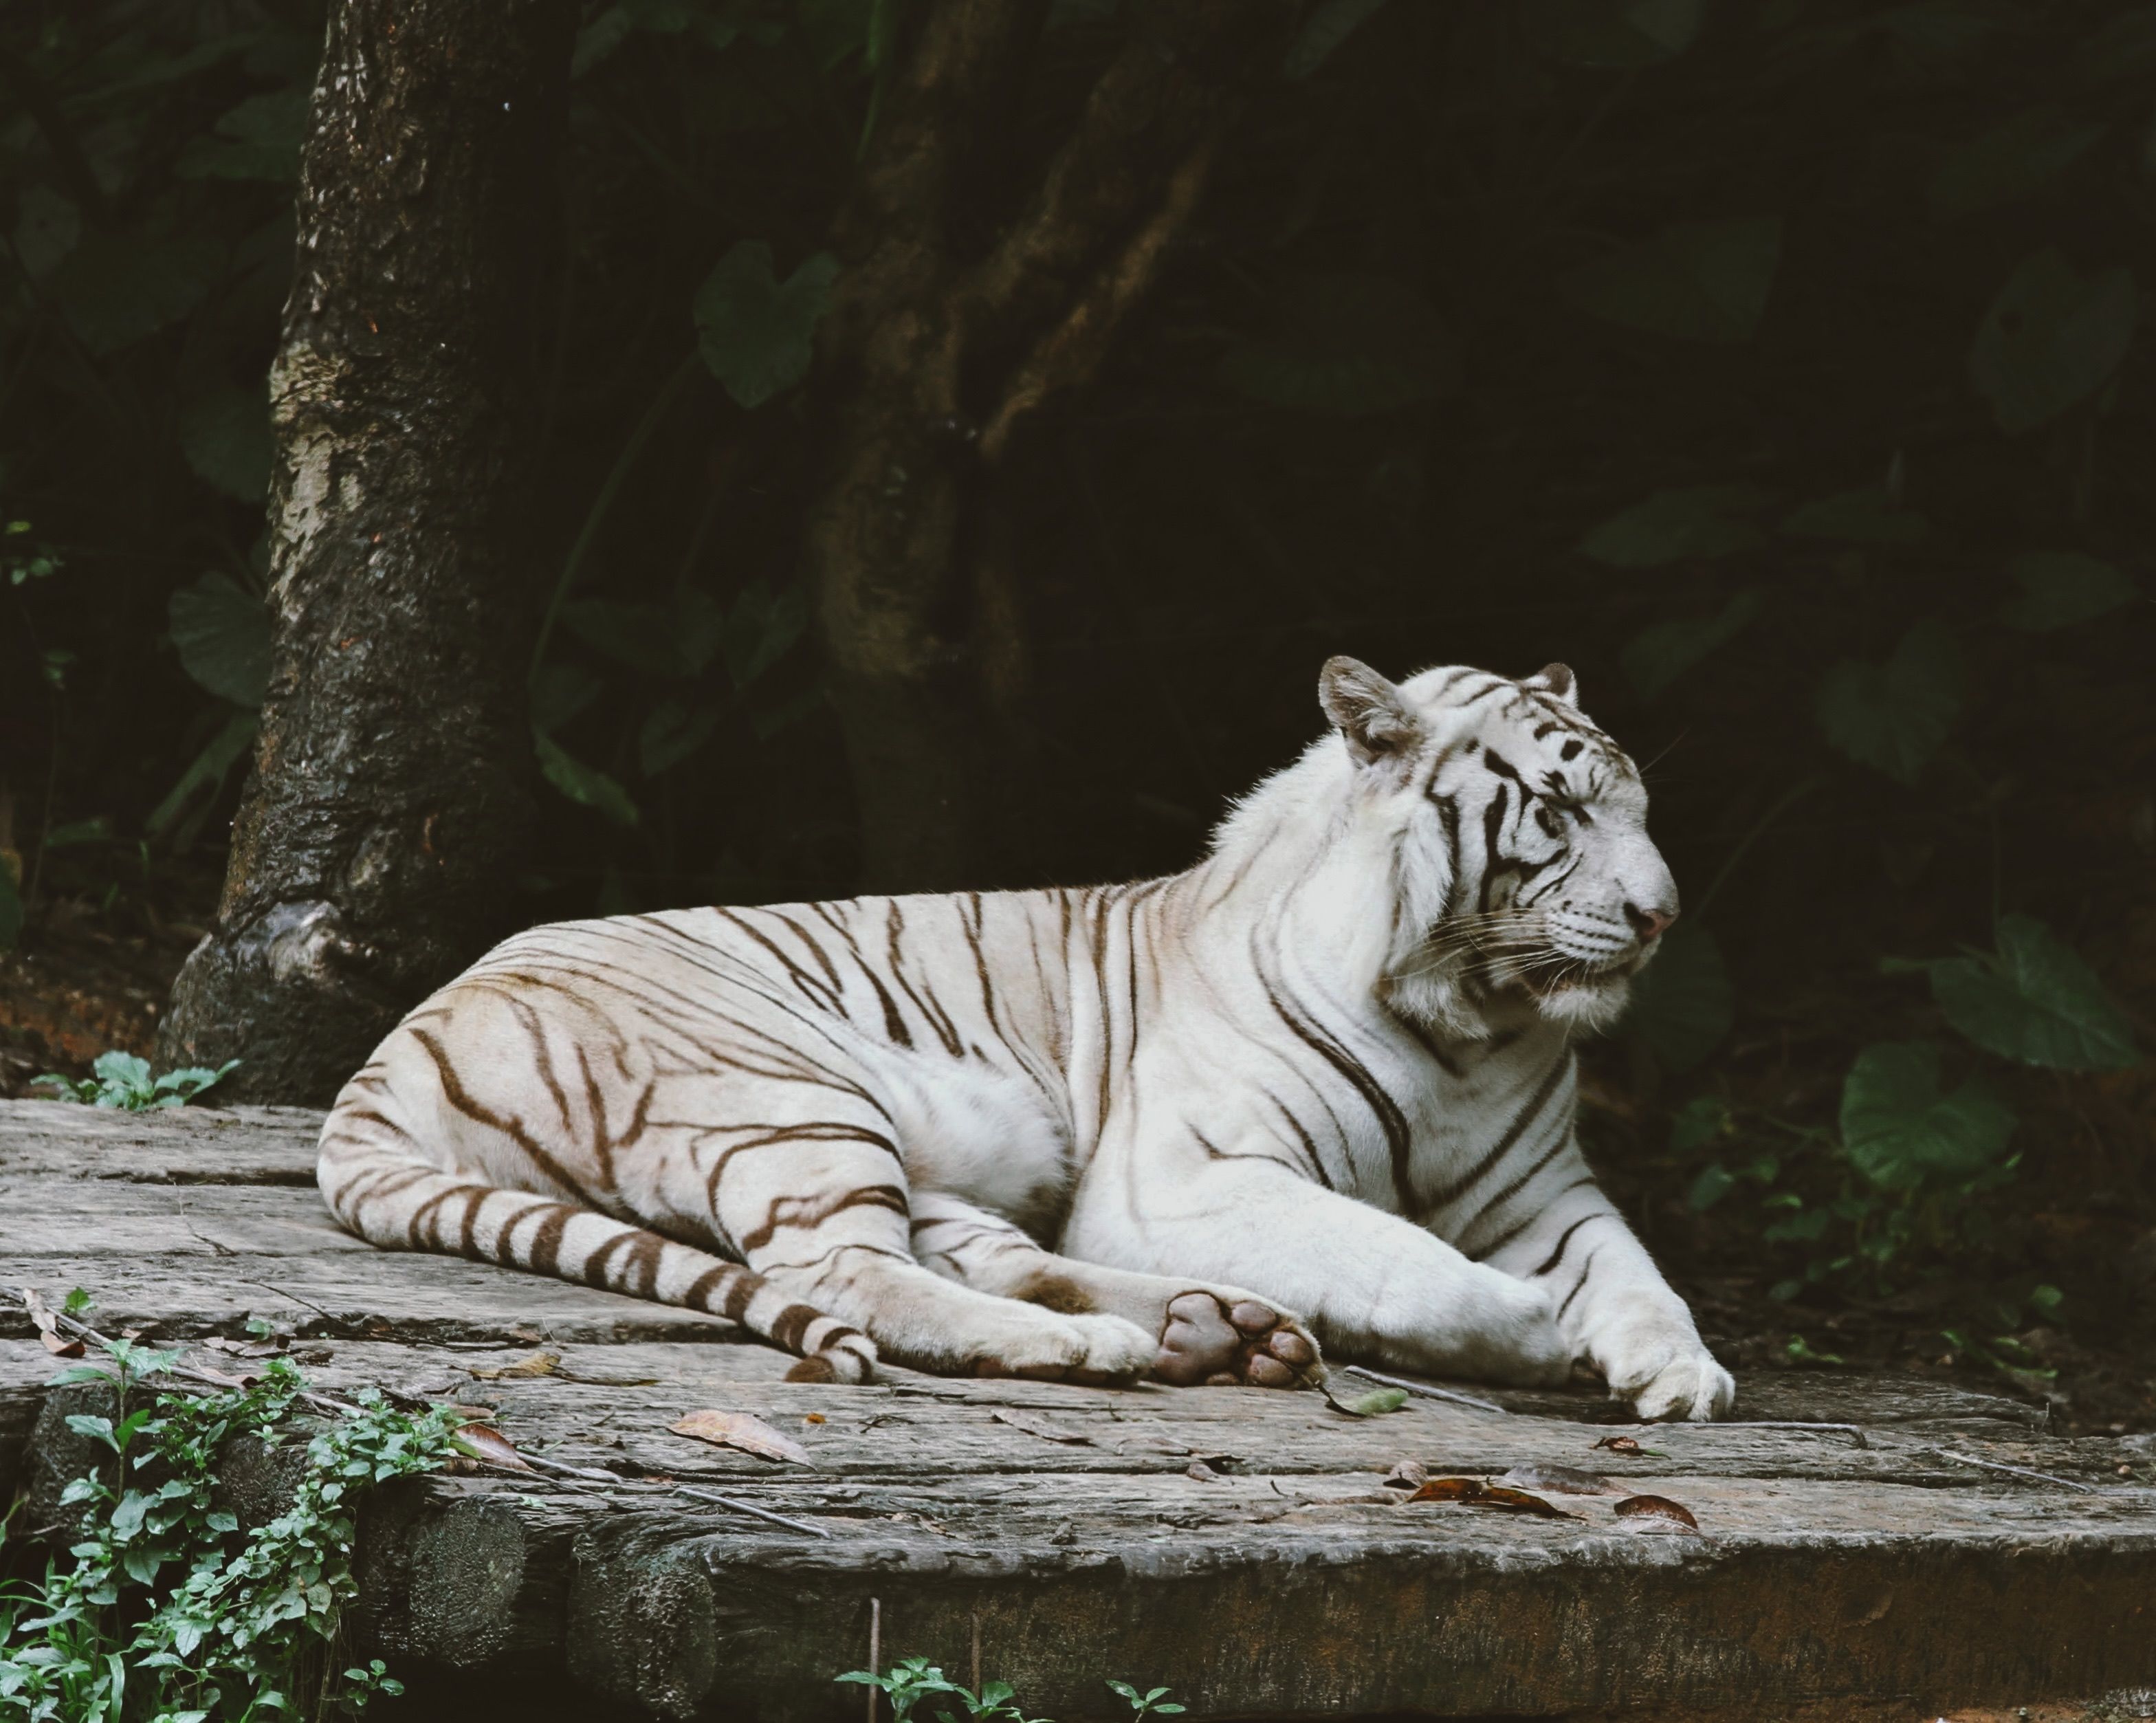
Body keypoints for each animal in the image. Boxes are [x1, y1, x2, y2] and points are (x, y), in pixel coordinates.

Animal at [318, 656, 1735, 1420]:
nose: (1666, 915)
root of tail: (396, 1047)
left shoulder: (1549, 1193)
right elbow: (1402, 1257)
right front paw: (1540, 1333)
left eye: (1639, 808)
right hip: (792, 1096)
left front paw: (1681, 1374)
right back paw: (1106, 1348)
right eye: (1558, 809)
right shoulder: (1185, 1177)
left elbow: (1640, 1276)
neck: (1470, 1017)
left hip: (931, 1150)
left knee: (986, 1259)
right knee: (853, 1276)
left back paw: (1220, 1329)